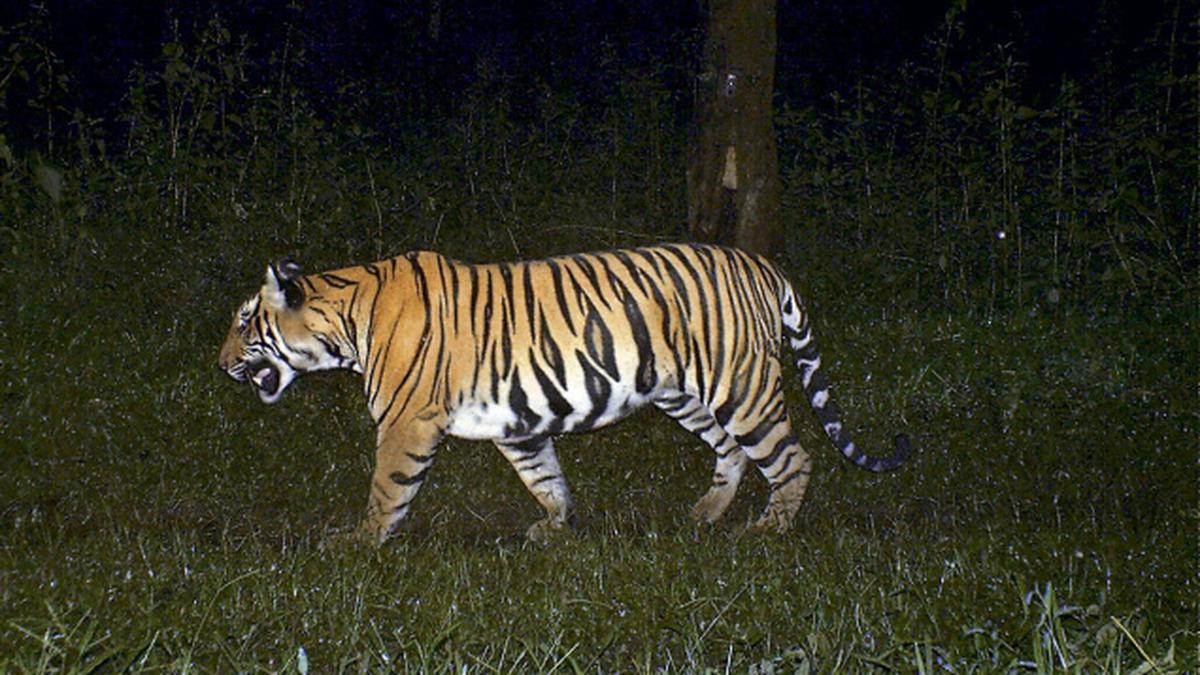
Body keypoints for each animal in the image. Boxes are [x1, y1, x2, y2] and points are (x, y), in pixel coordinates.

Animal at [218, 243, 911, 545]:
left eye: (247, 322)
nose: (221, 365)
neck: (347, 318)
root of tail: (761, 264)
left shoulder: (406, 424)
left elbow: (388, 490)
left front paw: (360, 544)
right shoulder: (518, 423)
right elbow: (544, 476)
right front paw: (556, 526)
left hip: (741, 389)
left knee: (792, 457)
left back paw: (768, 530)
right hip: (685, 394)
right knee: (732, 452)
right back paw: (705, 515)